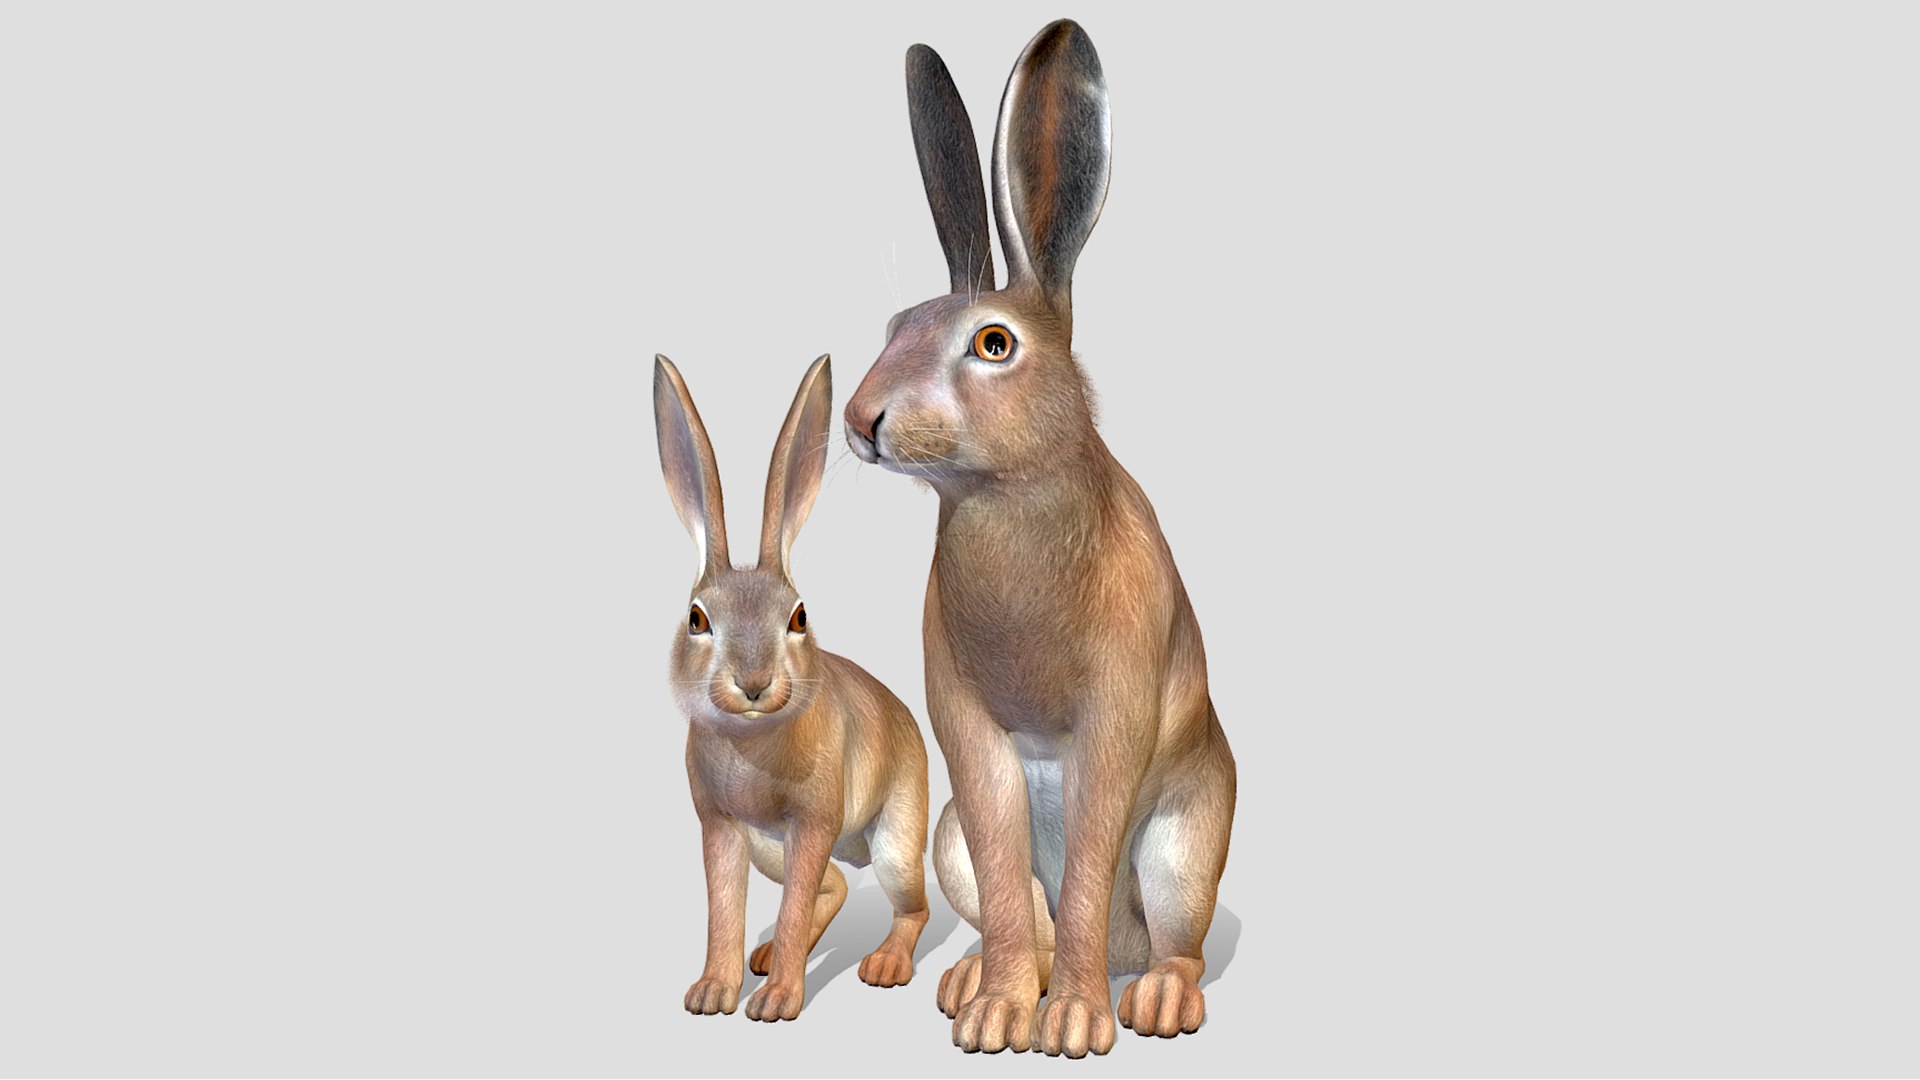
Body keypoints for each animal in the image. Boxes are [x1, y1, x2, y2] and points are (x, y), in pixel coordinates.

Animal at [655, 353, 931, 1023]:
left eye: (799, 617)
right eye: (697, 619)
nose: (753, 682)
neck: (750, 743)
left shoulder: (812, 821)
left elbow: (794, 901)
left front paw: (777, 1002)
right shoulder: (723, 827)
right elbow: (724, 910)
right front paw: (712, 993)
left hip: (894, 840)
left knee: (908, 904)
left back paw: (883, 965)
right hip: (771, 851)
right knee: (834, 886)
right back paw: (771, 954)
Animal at [842, 21, 1237, 1057]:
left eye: (993, 345)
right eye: (896, 324)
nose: (862, 419)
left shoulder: (1115, 717)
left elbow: (1094, 855)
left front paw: (1075, 1025)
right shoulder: (967, 732)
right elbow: (1004, 853)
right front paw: (999, 1017)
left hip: (1186, 842)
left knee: (1166, 937)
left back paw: (1152, 998)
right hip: (946, 839)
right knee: (1023, 904)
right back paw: (973, 979)